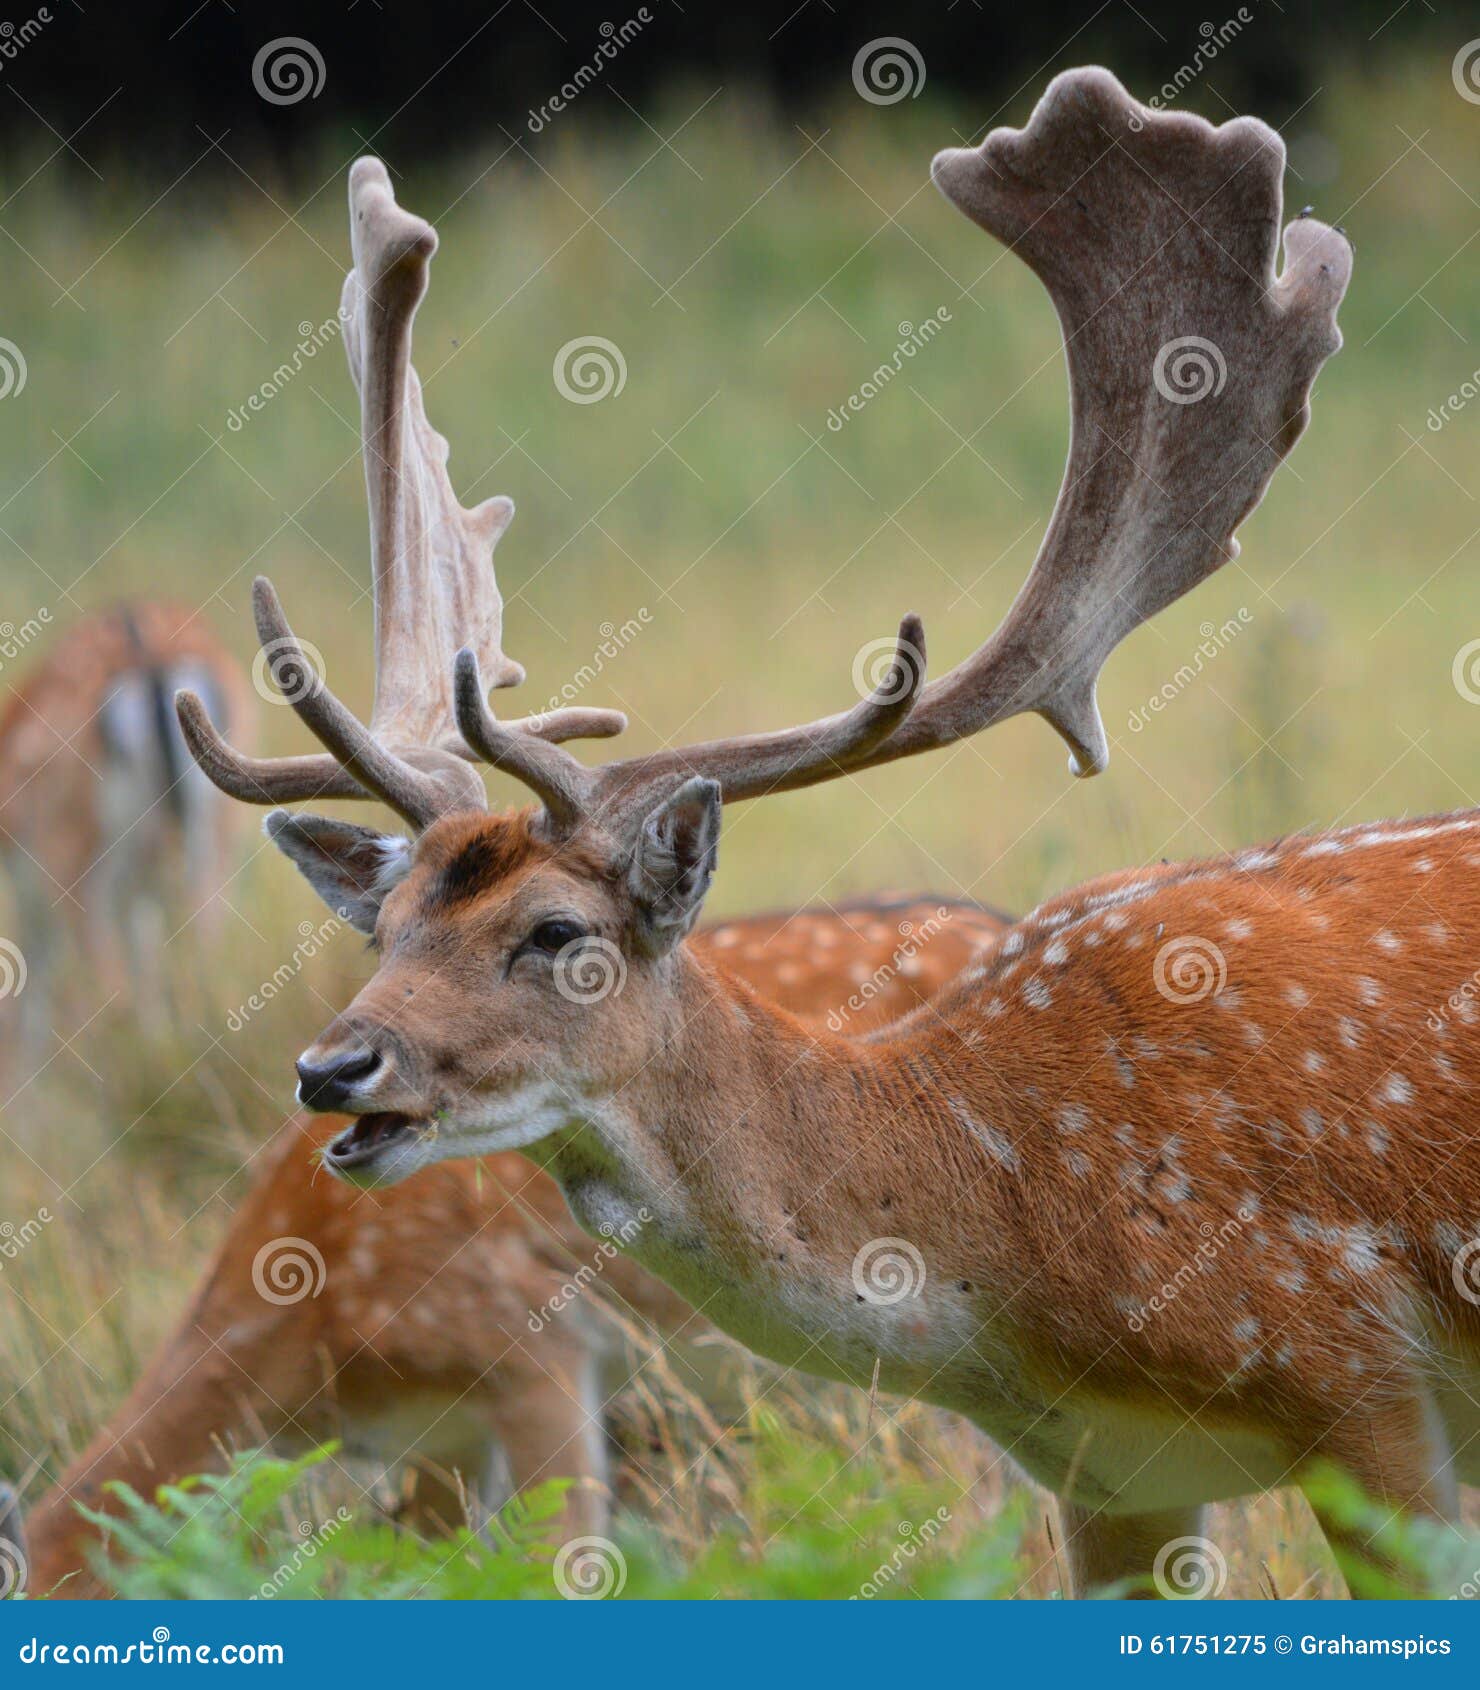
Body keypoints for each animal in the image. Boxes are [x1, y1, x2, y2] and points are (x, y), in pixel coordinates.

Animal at [171, 68, 1475, 1600]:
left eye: (556, 933)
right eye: (383, 924)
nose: (332, 1067)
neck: (1023, 1238)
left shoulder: (1355, 1371)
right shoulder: (1116, 1475)